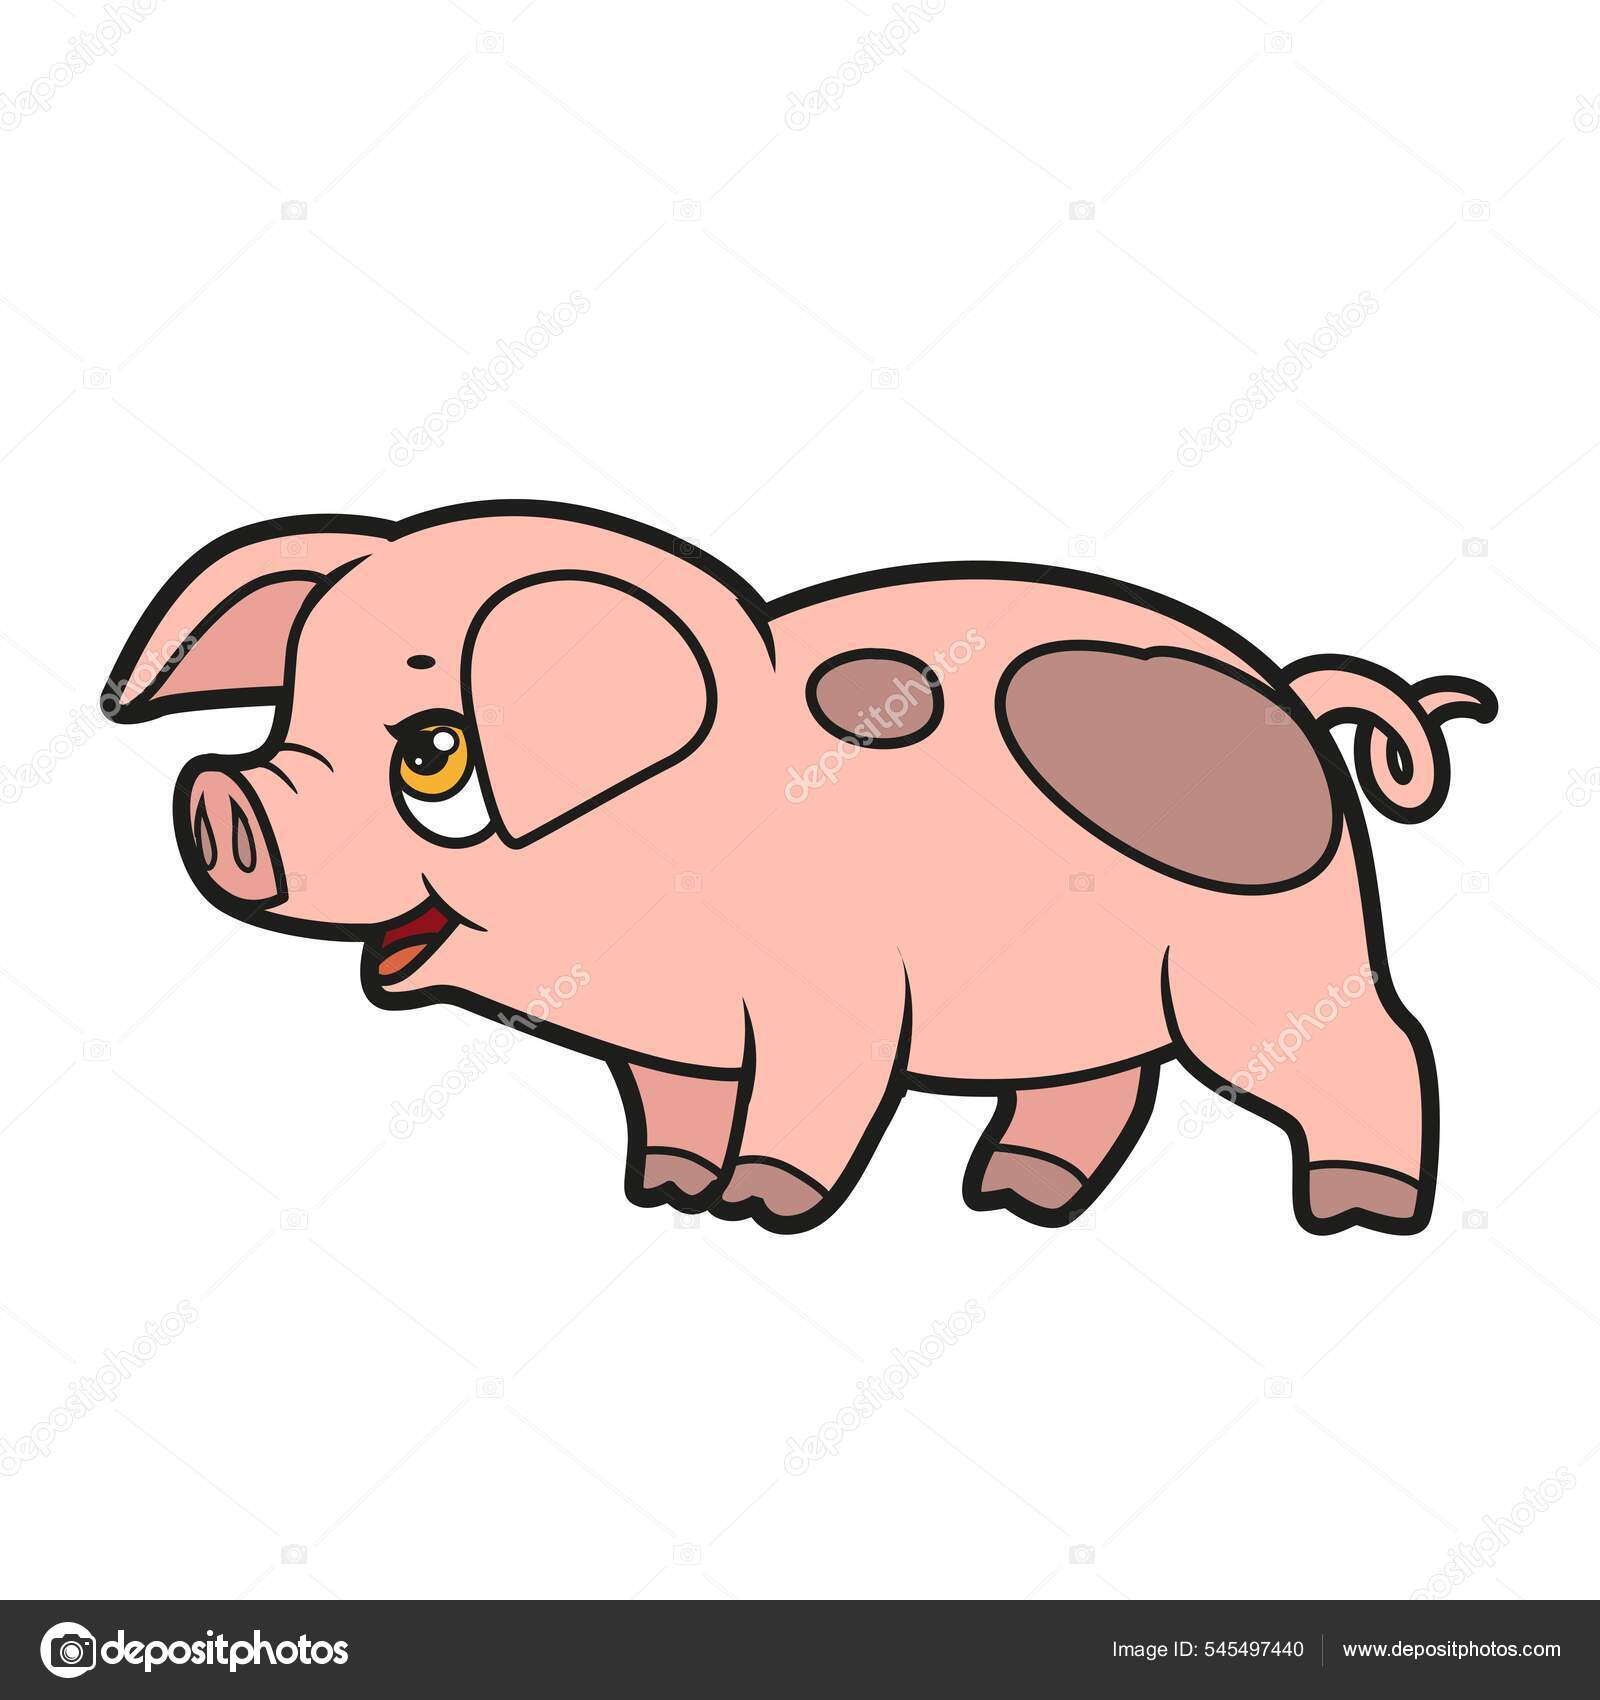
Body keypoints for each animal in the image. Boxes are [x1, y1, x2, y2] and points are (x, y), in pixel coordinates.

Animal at [104, 501, 1496, 1237]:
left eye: (434, 755)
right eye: (286, 717)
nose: (220, 798)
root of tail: (1295, 693)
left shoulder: (838, 997)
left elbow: (813, 1099)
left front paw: (758, 1209)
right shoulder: (669, 1037)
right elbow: (671, 1099)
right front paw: (665, 1194)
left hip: (1268, 958)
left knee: (1385, 1043)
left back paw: (1361, 1212)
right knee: (1100, 1084)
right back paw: (1010, 1197)